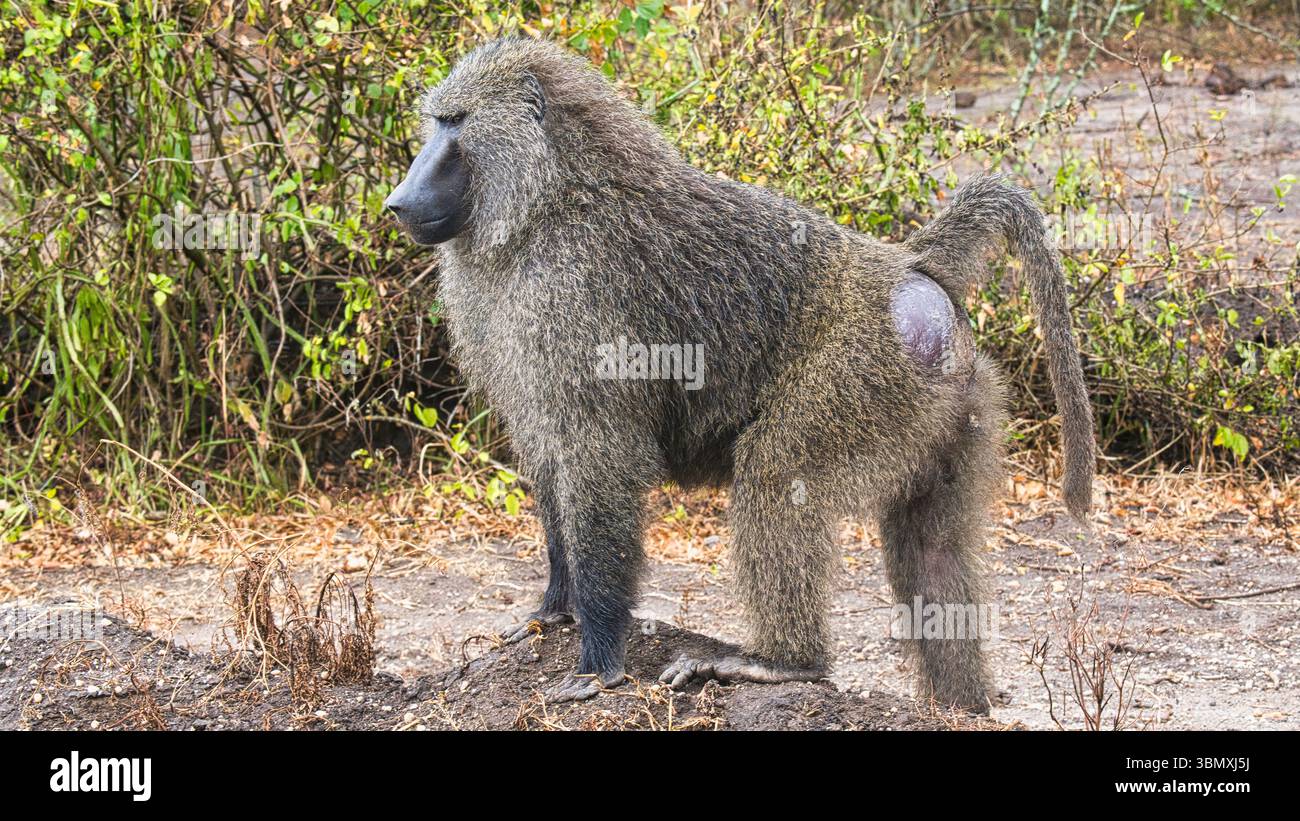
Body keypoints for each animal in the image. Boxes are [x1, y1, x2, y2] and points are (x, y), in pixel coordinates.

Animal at [385, 38, 1095, 712]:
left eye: (454, 123)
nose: (397, 201)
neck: (547, 201)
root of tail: (909, 265)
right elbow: (547, 456)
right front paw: (554, 611)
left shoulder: (579, 293)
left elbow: (601, 462)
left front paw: (599, 662)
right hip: (951, 400)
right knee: (934, 549)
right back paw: (960, 705)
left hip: (865, 371)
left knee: (778, 471)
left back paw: (781, 663)